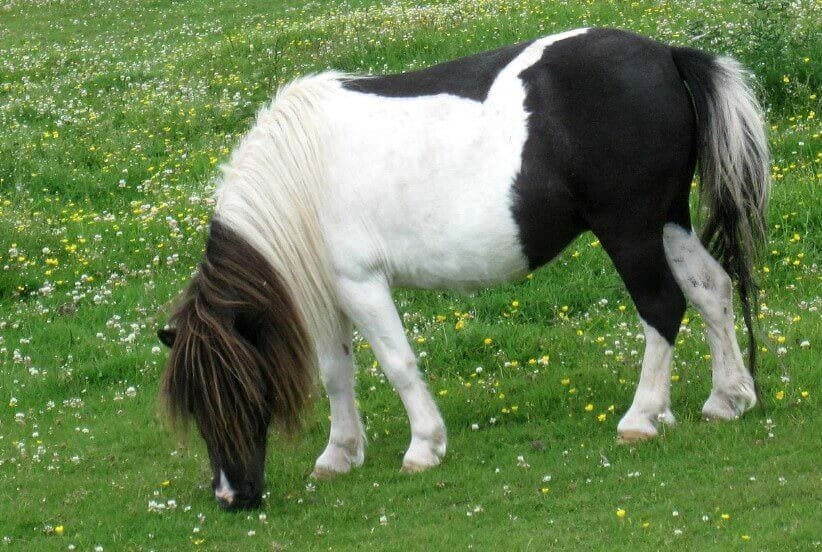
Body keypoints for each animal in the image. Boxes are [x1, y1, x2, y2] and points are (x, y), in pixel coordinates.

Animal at [157, 27, 769, 510]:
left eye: (233, 390)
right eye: (195, 406)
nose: (230, 497)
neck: (302, 175)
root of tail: (666, 55)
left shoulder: (361, 284)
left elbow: (398, 364)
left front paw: (424, 446)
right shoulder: (329, 293)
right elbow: (336, 373)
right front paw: (340, 455)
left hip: (629, 232)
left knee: (663, 306)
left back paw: (642, 417)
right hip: (667, 222)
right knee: (711, 290)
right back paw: (727, 399)